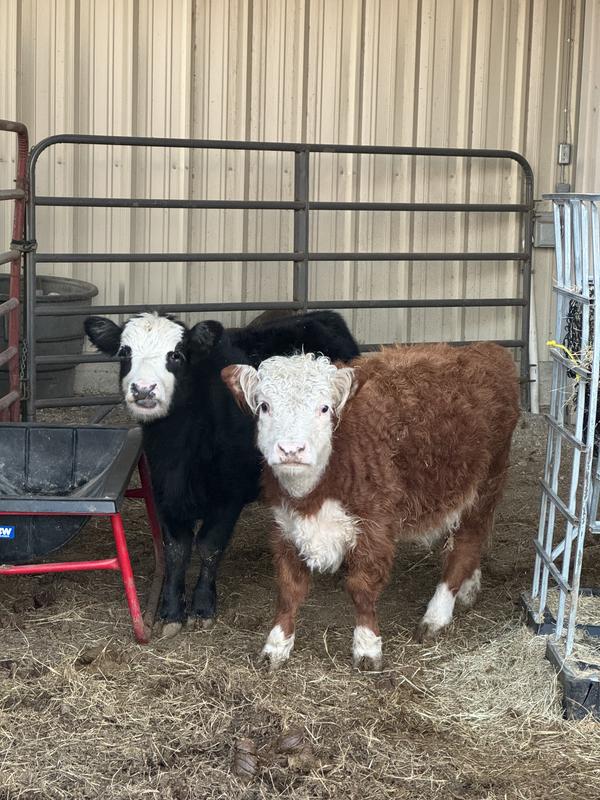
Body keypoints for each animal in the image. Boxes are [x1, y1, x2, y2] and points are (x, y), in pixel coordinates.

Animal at [84, 310, 359, 637]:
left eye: (176, 355)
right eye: (125, 353)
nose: (143, 389)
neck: (182, 446)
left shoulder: (229, 495)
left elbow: (209, 546)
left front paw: (203, 606)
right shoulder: (166, 492)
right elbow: (176, 550)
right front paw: (172, 609)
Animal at [222, 344, 520, 670]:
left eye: (324, 408)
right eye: (264, 406)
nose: (291, 450)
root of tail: (485, 349)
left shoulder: (375, 526)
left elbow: (361, 588)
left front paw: (367, 647)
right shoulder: (284, 526)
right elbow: (289, 588)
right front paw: (276, 645)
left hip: (486, 484)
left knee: (465, 545)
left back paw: (437, 615)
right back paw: (468, 588)